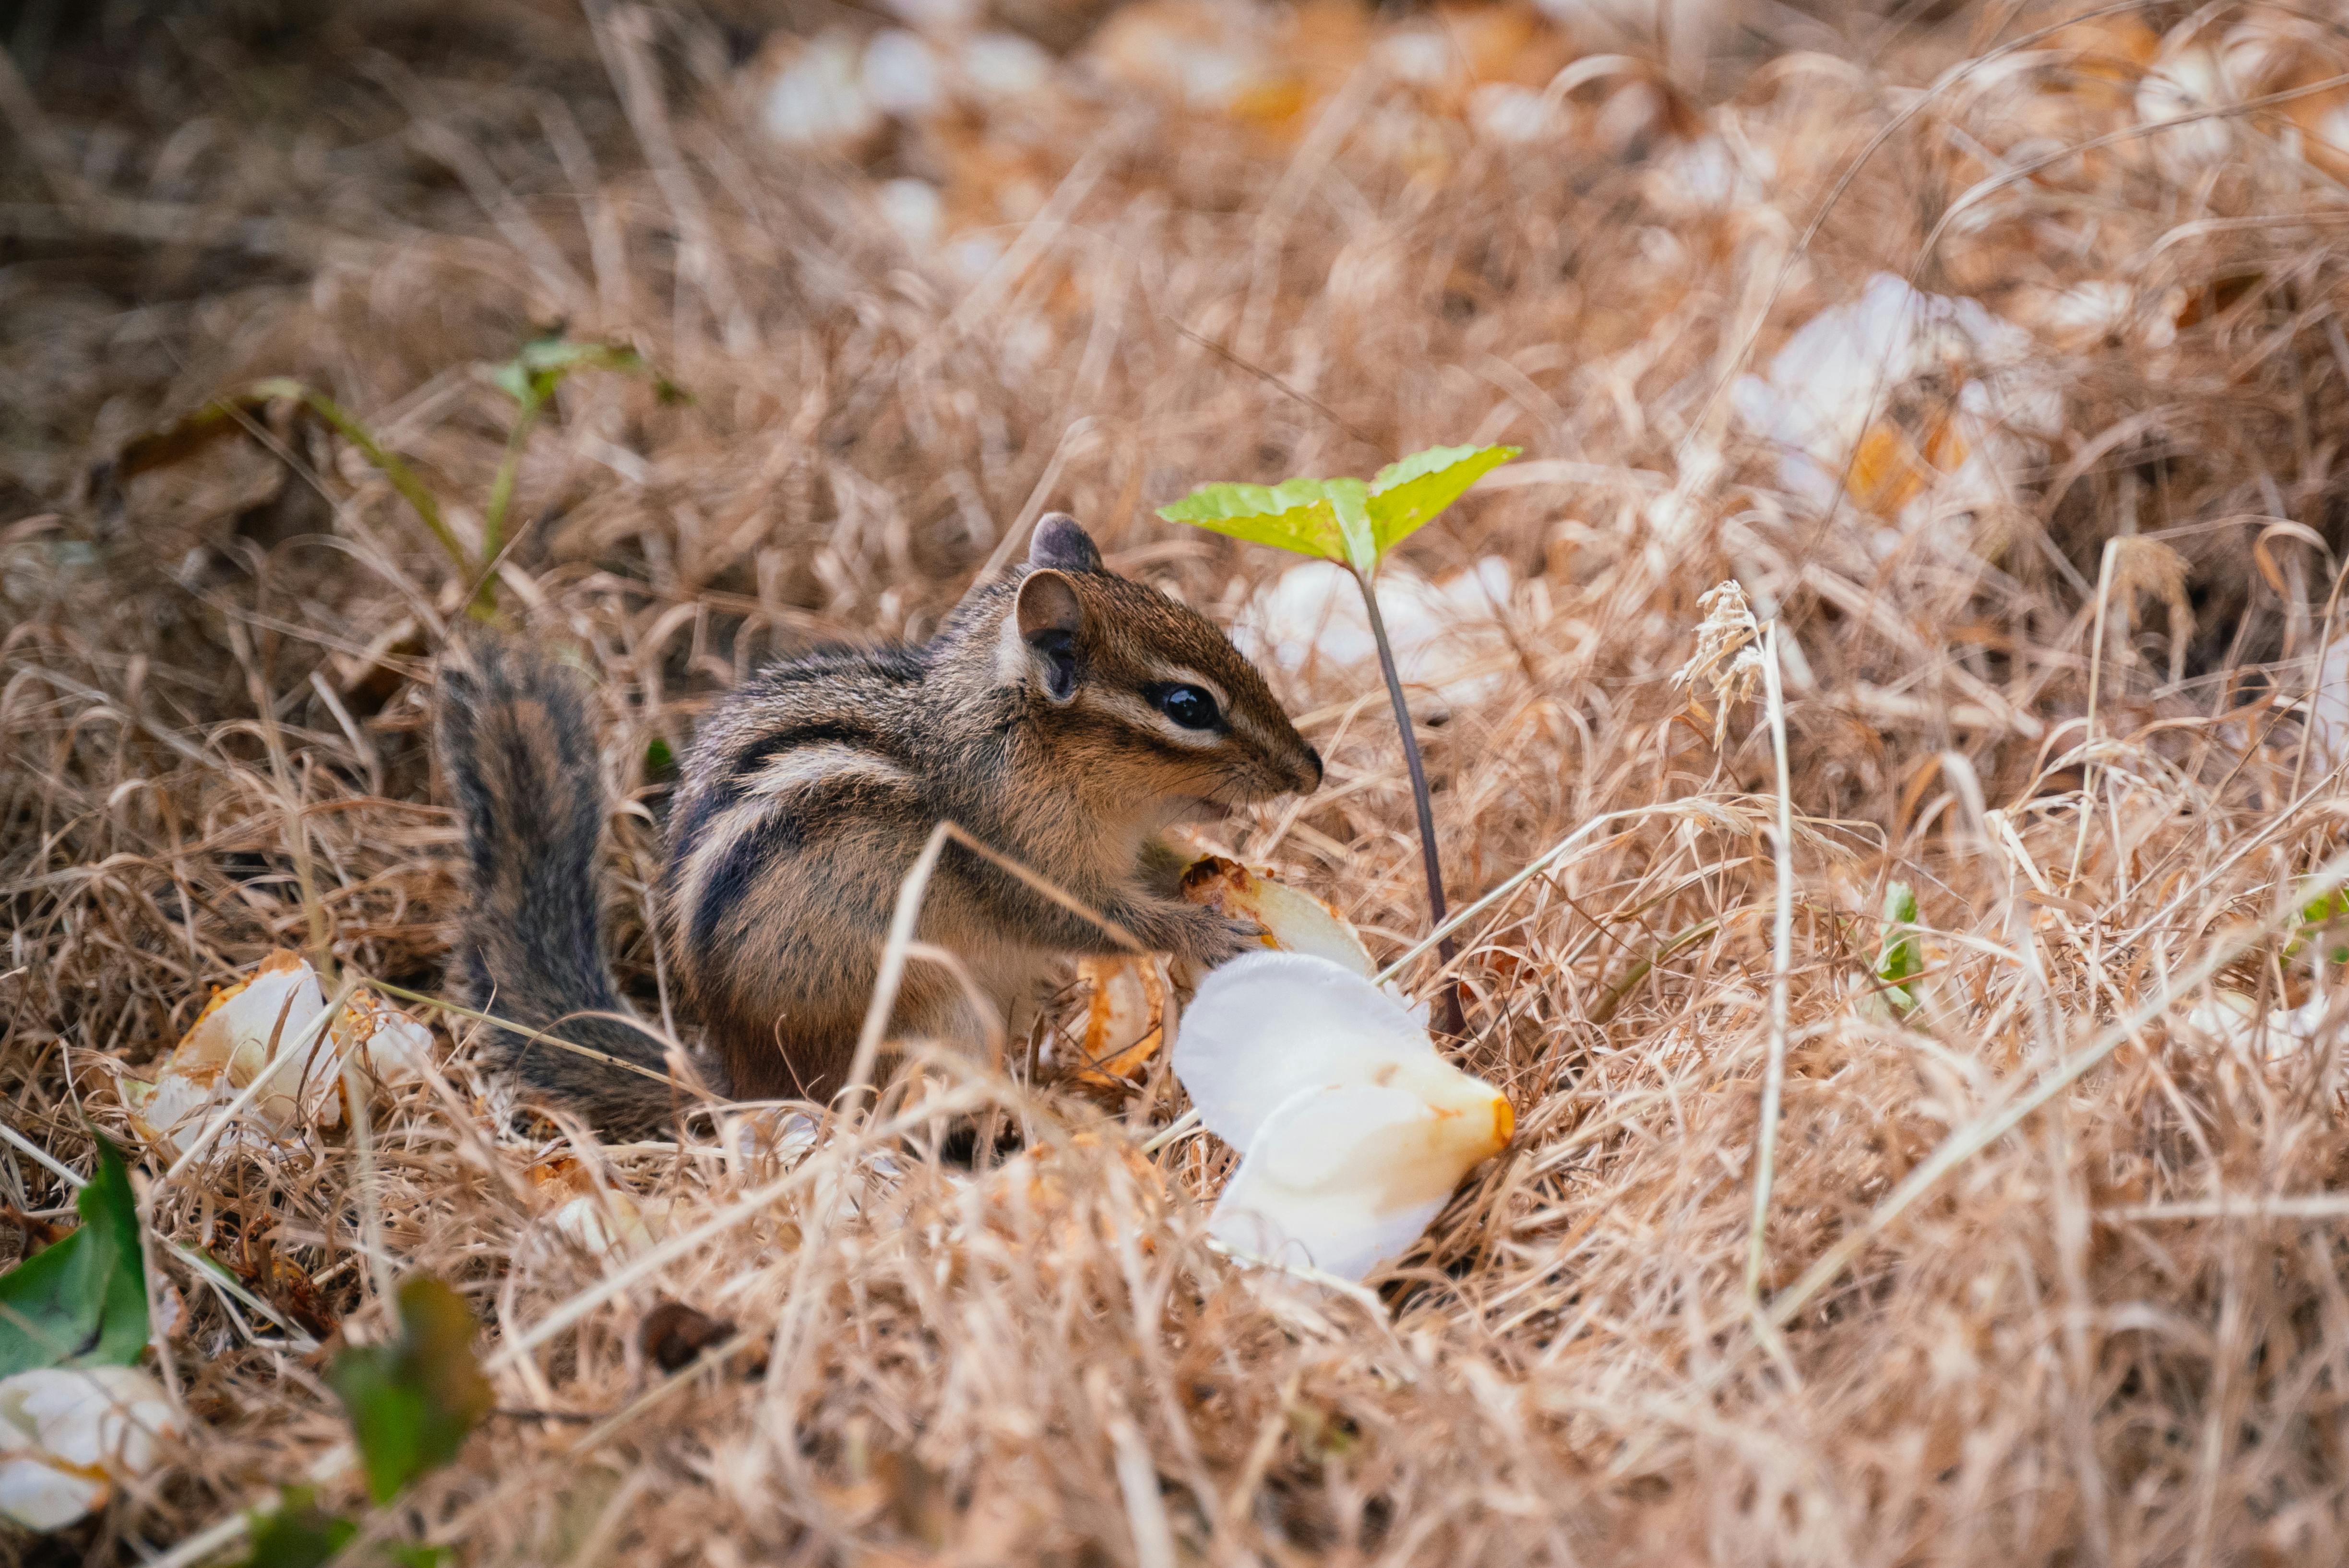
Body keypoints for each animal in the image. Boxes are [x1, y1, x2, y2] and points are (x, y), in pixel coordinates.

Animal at [435, 514, 1323, 1132]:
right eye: (1188, 706)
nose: (1310, 770)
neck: (1013, 735)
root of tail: (736, 1079)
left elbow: (1156, 865)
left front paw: (1239, 875)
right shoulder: (1018, 855)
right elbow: (1093, 917)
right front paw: (1202, 930)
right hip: (934, 1016)